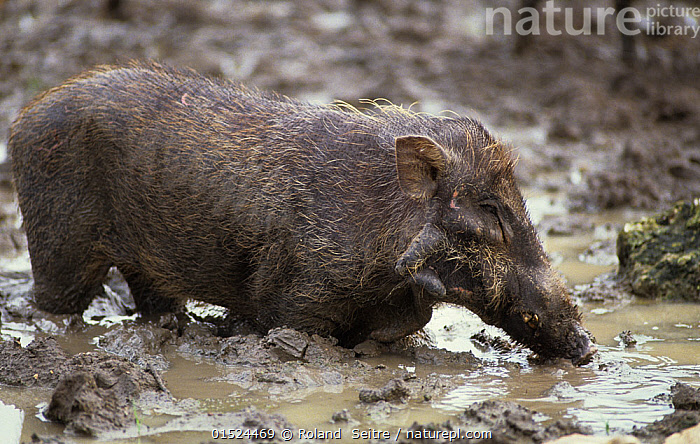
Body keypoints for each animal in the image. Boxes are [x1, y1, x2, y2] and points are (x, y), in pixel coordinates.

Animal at [9, 61, 596, 364]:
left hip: (143, 263)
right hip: (60, 246)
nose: (587, 347)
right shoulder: (291, 305)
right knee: (50, 306)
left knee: (154, 302)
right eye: (492, 211)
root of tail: (23, 117)